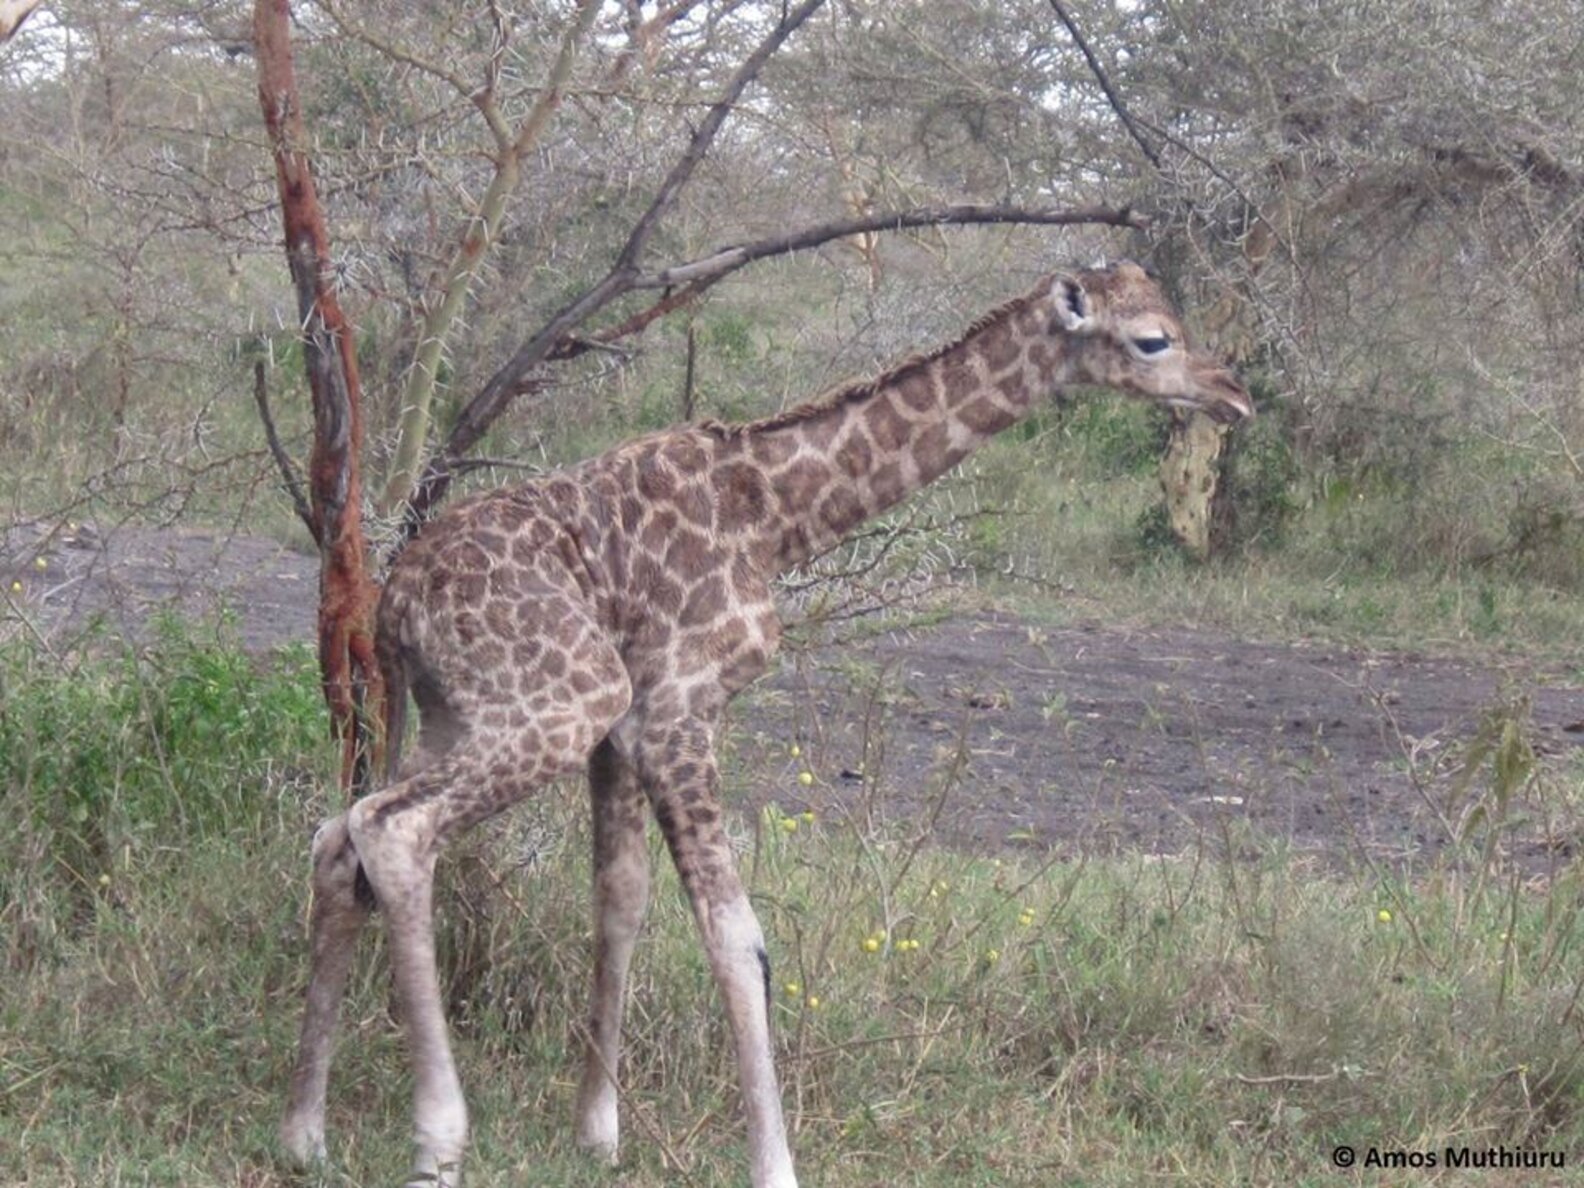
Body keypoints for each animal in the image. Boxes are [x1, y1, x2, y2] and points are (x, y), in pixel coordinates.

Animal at [278, 261, 1252, 1188]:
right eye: (1154, 339)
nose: (1232, 391)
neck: (775, 516)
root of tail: (396, 600)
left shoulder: (625, 729)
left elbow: (620, 902)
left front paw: (598, 1133)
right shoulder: (674, 706)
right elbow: (736, 938)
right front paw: (774, 1166)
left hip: (463, 714)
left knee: (338, 836)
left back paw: (305, 1135)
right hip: (557, 699)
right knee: (393, 830)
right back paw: (437, 1142)